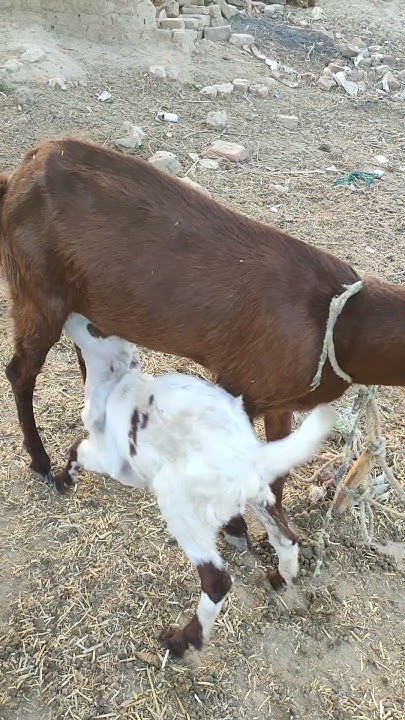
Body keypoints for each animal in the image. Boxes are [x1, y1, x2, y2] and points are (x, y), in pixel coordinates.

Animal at [1, 138, 404, 589]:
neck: (339, 325)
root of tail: (18, 175)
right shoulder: (239, 383)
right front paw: (237, 530)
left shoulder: (279, 399)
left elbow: (277, 471)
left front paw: (270, 546)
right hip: (35, 289)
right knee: (20, 371)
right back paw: (42, 463)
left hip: (82, 301)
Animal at [57, 312, 336, 656]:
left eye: (94, 327)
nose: (68, 317)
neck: (120, 383)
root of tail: (248, 453)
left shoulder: (111, 458)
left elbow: (77, 449)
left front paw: (63, 479)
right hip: (260, 496)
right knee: (286, 539)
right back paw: (280, 579)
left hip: (180, 509)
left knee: (217, 581)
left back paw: (183, 640)